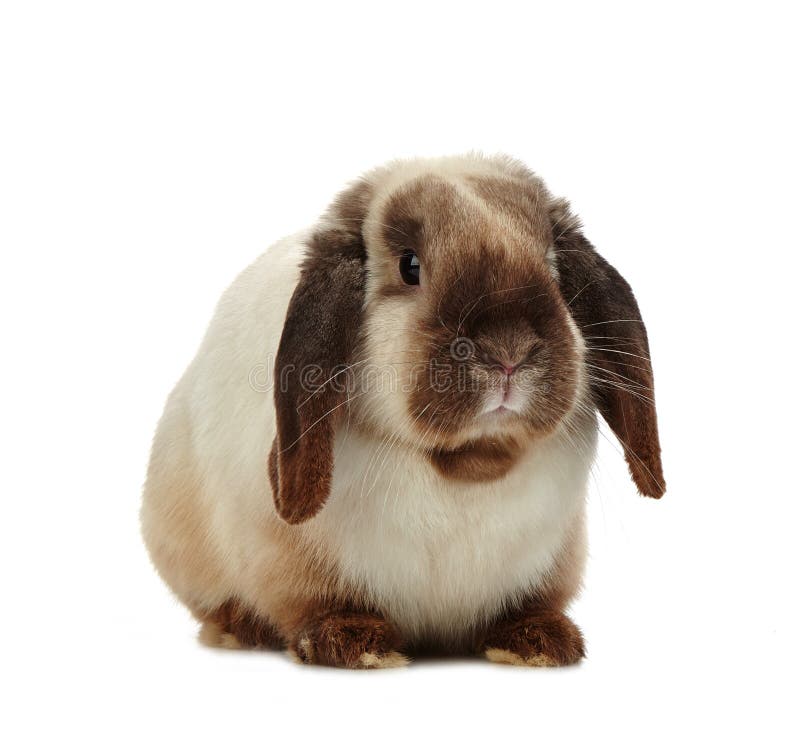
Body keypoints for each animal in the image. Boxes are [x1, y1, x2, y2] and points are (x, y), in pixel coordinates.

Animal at [141, 153, 665, 669]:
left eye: (552, 265)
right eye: (409, 266)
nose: (508, 352)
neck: (467, 466)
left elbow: (528, 604)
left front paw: (538, 640)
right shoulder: (289, 564)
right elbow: (317, 603)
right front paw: (353, 642)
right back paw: (240, 628)